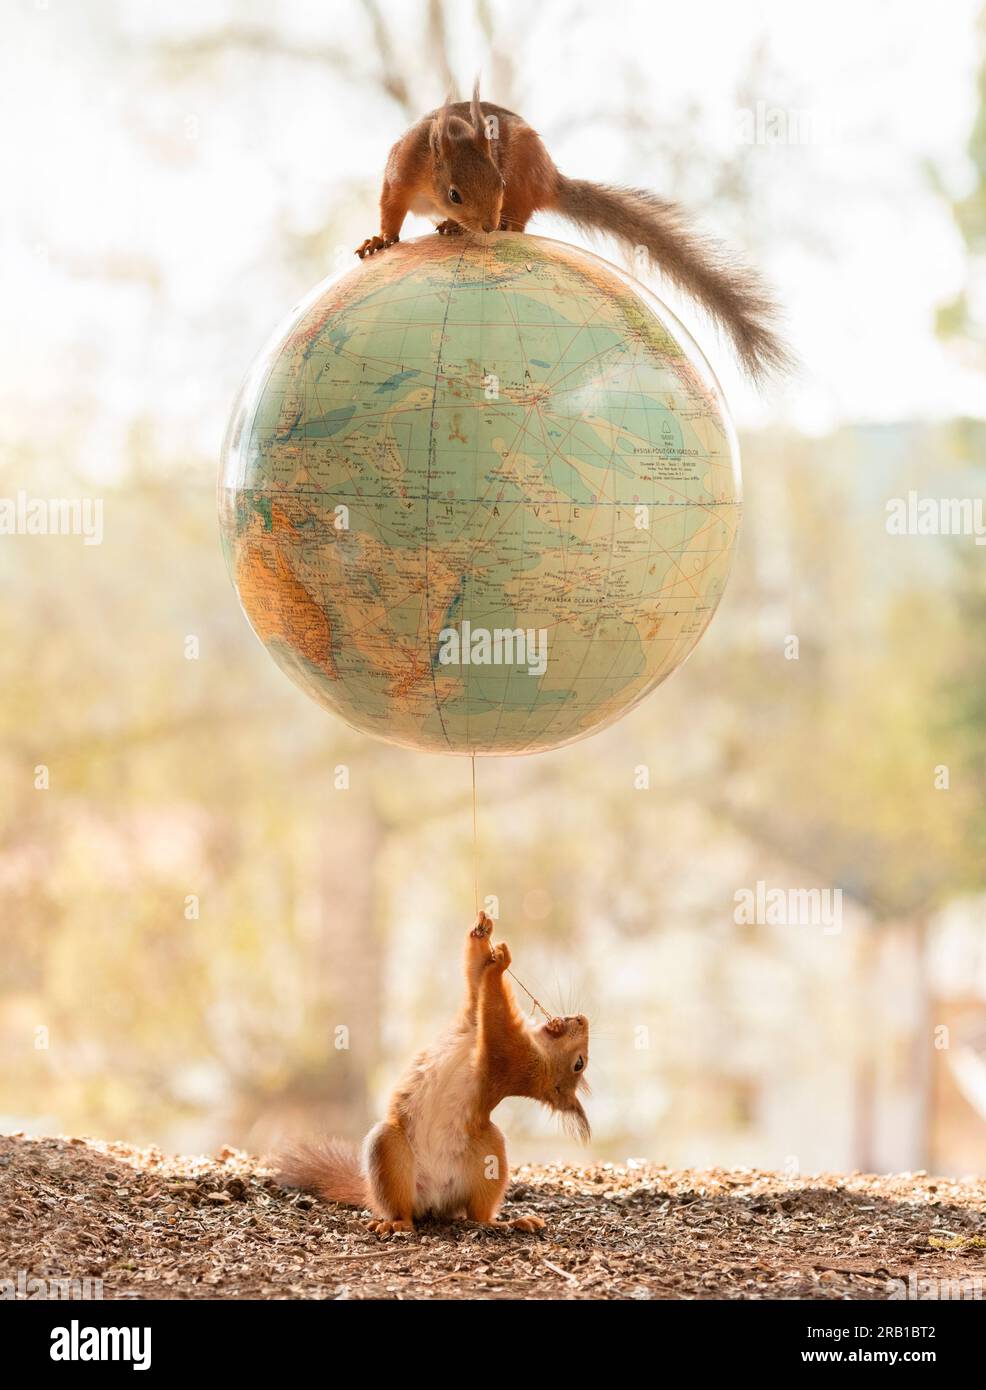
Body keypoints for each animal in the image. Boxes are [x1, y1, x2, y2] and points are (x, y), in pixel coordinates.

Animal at [278, 912, 589, 1235]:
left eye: (579, 1064)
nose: (582, 1018)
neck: (539, 1059)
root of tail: (436, 1197)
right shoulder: (473, 1019)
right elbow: (476, 981)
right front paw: (483, 933)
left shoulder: (508, 1055)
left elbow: (495, 1010)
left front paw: (500, 964)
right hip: (394, 1153)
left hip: (480, 1154)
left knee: (475, 1214)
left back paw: (500, 1221)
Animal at [355, 83, 790, 384]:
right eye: (454, 194)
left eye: (499, 182)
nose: (487, 226)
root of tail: (551, 181)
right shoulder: (400, 176)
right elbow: (390, 211)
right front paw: (380, 241)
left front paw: (452, 227)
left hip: (524, 178)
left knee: (521, 222)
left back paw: (474, 227)